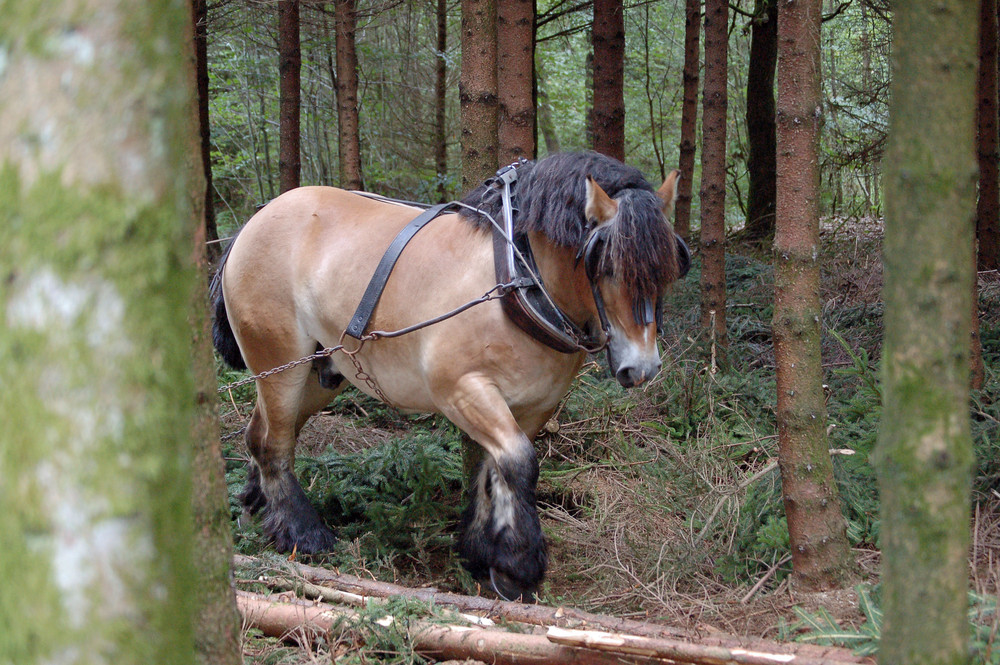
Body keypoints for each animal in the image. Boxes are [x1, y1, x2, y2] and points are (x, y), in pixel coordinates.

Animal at [211, 151, 690, 599]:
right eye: (605, 266)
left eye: (668, 270)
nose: (643, 368)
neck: (515, 277)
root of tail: (254, 220)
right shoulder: (462, 390)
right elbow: (519, 463)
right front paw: (518, 565)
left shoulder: (535, 405)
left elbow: (493, 470)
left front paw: (483, 552)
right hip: (279, 362)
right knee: (275, 442)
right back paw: (301, 532)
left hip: (317, 373)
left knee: (262, 433)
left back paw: (257, 508)